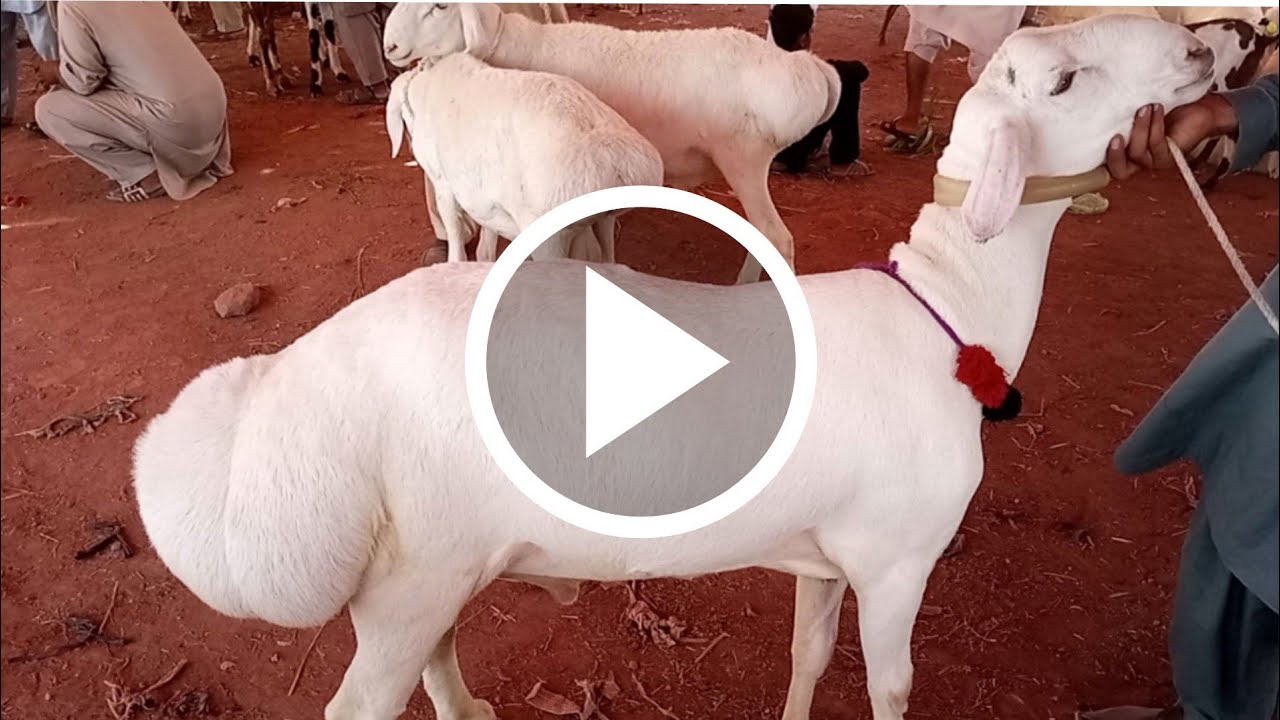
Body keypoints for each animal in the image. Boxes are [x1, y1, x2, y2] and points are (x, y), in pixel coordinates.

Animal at [385, 53, 663, 264]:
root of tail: (616, 159)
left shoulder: (442, 182)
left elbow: (454, 233)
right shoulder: (484, 195)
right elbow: (485, 242)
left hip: (550, 236)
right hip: (603, 221)